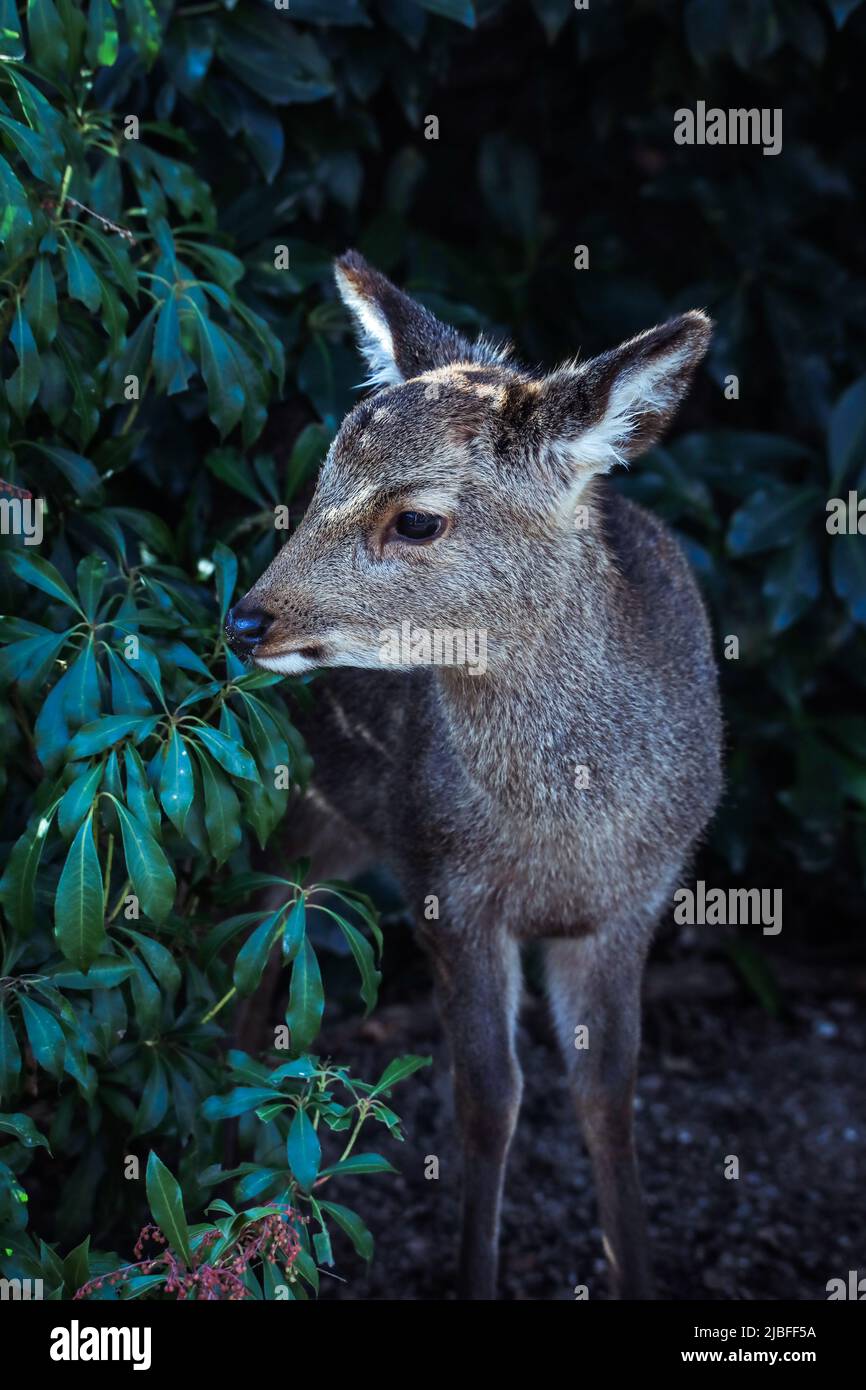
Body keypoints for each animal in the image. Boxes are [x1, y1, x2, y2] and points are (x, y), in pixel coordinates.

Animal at [225, 251, 723, 1301]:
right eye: (322, 480)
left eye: (417, 518)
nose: (246, 619)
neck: (564, 832)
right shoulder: (444, 882)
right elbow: (487, 1100)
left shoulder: (636, 902)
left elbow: (608, 1094)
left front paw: (631, 1267)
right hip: (307, 803)